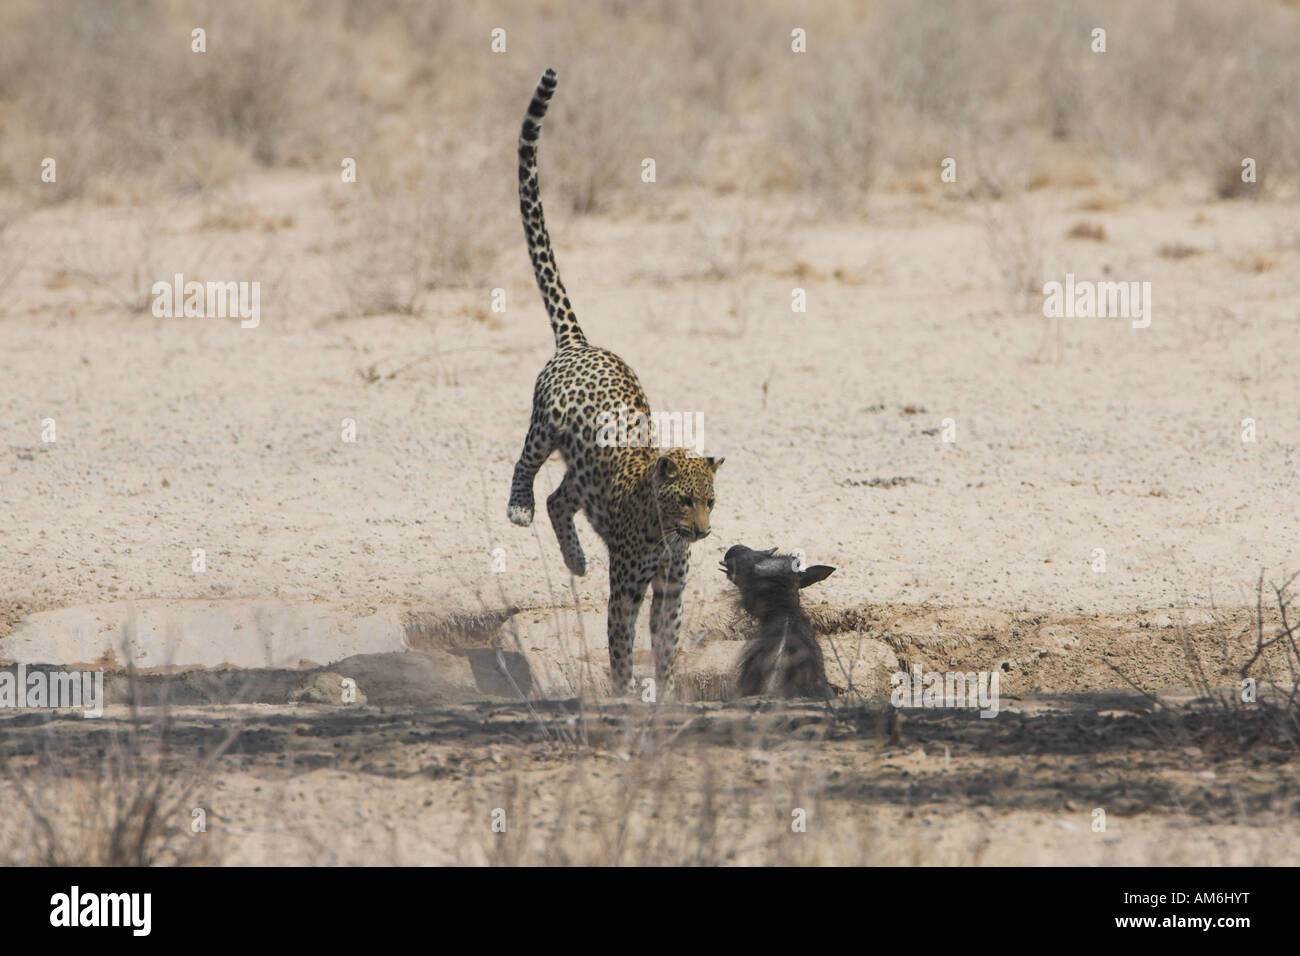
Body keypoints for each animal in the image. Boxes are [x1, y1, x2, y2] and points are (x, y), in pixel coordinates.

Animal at [507, 68, 722, 698]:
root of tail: (582, 343)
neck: (663, 529)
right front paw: (627, 693)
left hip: (583, 470)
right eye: (684, 501)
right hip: (545, 425)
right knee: (527, 466)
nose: (702, 532)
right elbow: (621, 645)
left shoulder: (671, 586)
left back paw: (576, 560)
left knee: (561, 498)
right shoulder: (628, 584)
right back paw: (519, 509)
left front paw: (667, 692)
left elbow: (666, 643)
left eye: (710, 502)